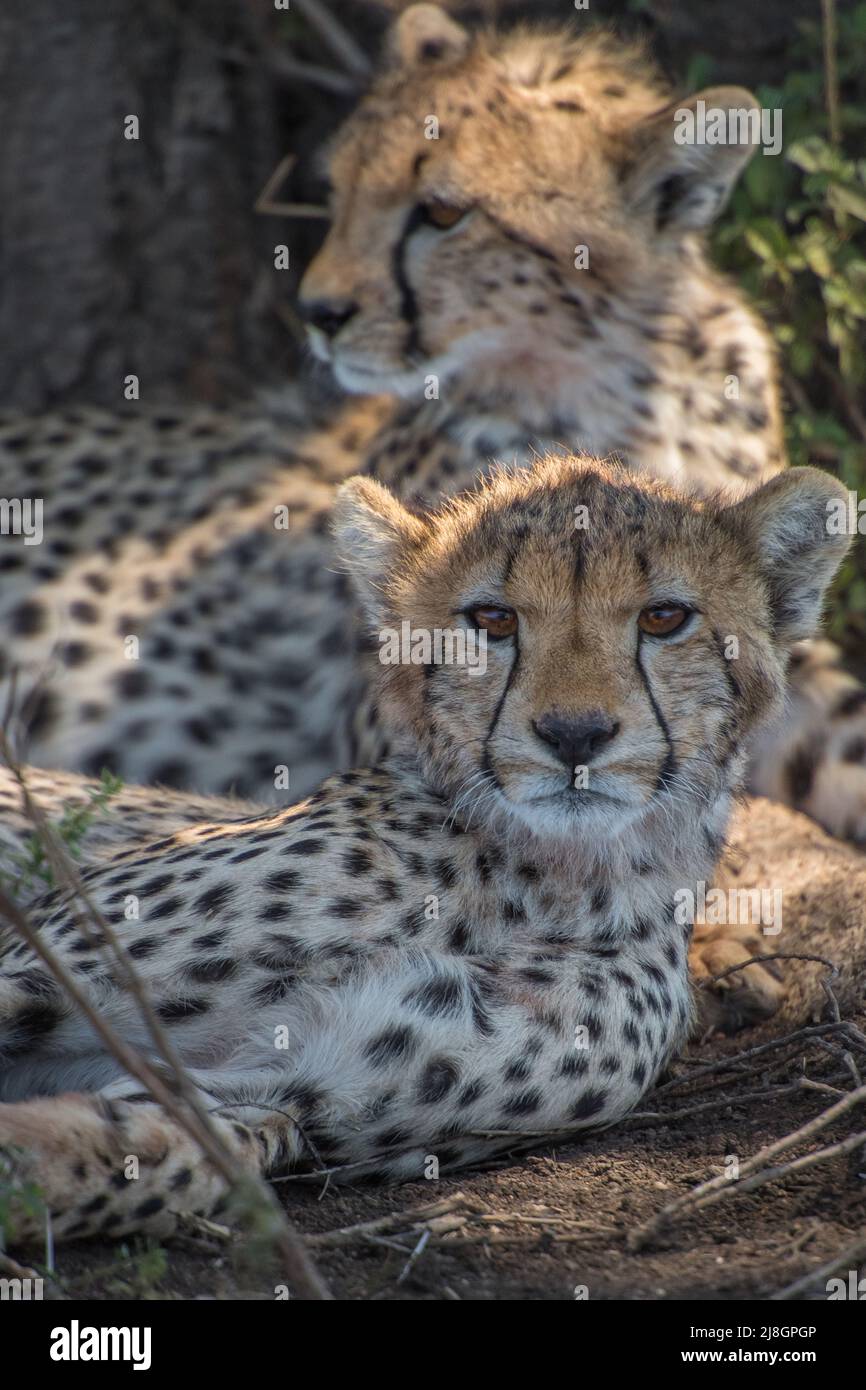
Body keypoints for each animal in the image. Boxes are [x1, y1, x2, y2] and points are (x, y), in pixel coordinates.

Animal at [0, 452, 852, 1246]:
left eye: (665, 617)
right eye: (494, 620)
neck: (534, 882)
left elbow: (192, 1154)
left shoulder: (294, 1089)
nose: (575, 734)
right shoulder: (40, 956)